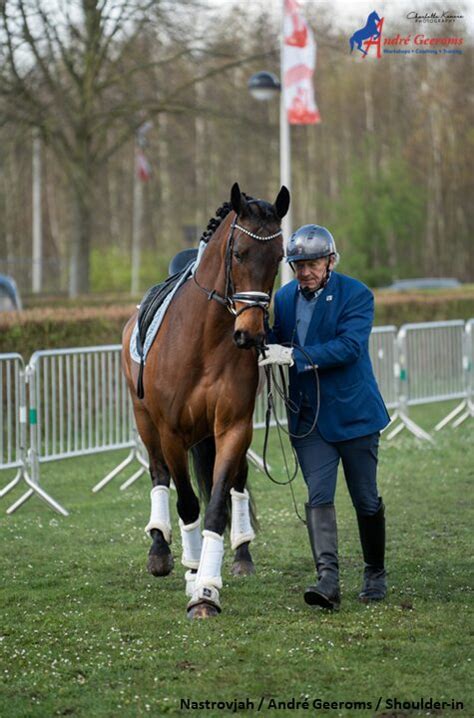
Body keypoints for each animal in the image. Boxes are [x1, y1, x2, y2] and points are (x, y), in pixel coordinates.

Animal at [122, 183, 290, 619]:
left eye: (279, 257)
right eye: (238, 254)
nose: (251, 334)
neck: (206, 338)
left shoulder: (233, 427)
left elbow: (216, 505)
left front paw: (206, 590)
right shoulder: (172, 432)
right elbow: (188, 503)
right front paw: (193, 572)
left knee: (237, 483)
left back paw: (242, 554)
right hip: (146, 421)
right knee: (159, 475)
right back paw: (161, 550)